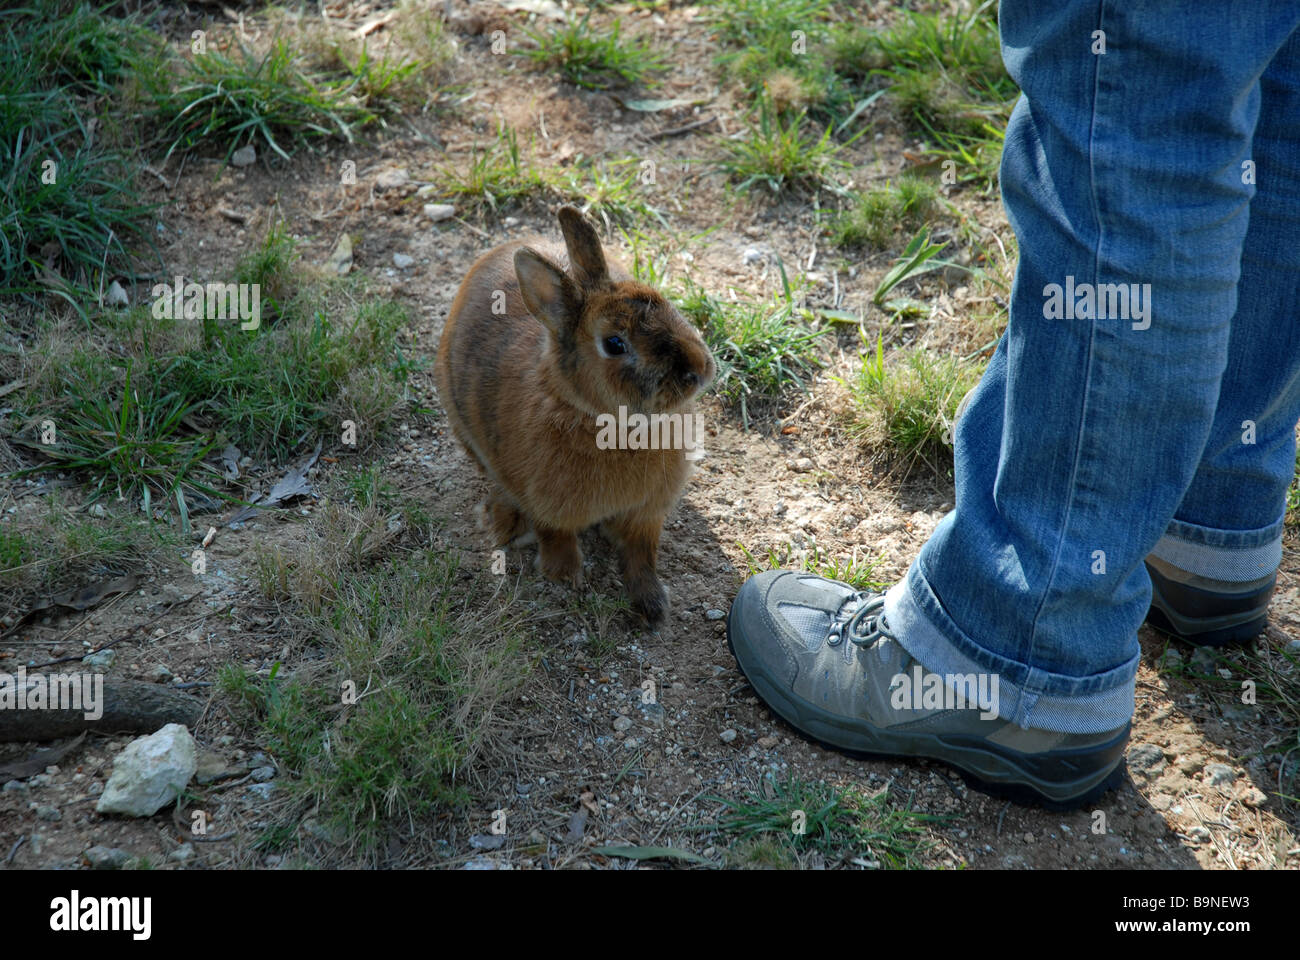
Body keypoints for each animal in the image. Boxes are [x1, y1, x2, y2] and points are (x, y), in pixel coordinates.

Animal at [434, 205, 716, 626]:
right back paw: (503, 523)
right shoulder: (544, 503)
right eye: (614, 343)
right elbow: (556, 535)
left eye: (664, 301)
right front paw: (565, 576)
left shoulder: (647, 514)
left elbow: (642, 555)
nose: (699, 370)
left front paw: (653, 605)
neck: (609, 423)